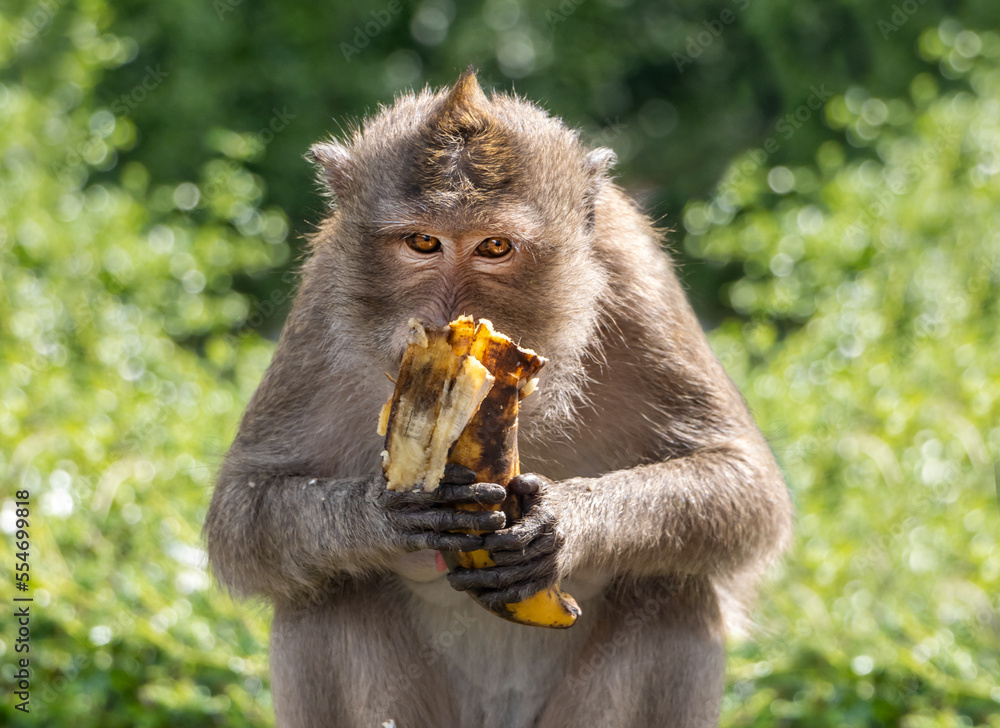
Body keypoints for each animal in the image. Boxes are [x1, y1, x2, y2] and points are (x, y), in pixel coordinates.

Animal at [204, 69, 793, 728]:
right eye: (423, 242)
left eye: (494, 247)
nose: (452, 317)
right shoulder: (321, 294)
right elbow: (242, 506)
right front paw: (382, 514)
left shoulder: (636, 280)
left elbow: (743, 482)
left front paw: (561, 524)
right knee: (325, 592)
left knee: (673, 588)